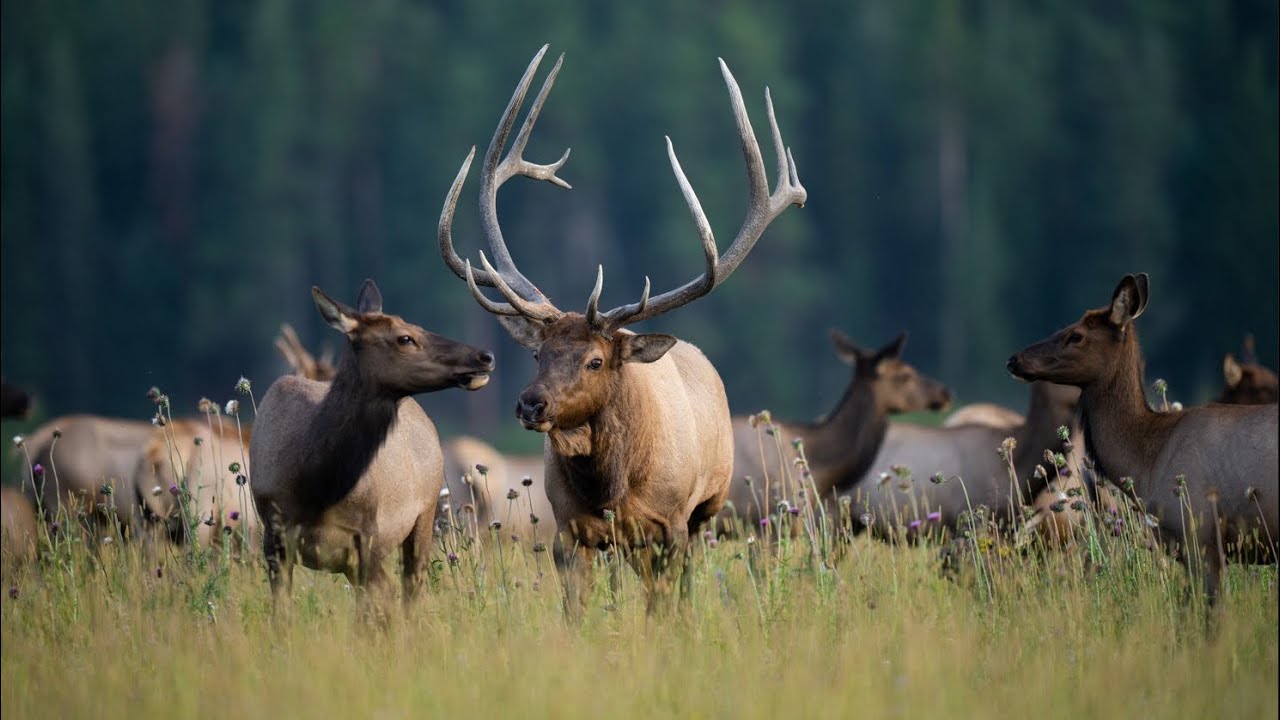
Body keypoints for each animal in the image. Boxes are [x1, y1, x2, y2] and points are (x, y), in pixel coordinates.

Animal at [248, 280, 495, 613]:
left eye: (417, 326)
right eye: (405, 338)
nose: (485, 356)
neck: (315, 486)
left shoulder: (366, 537)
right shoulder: (274, 537)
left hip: (426, 513)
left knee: (409, 589)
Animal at [437, 45, 805, 616]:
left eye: (595, 360)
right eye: (538, 355)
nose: (530, 404)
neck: (612, 488)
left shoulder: (672, 524)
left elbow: (664, 605)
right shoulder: (569, 532)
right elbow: (577, 609)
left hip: (709, 505)